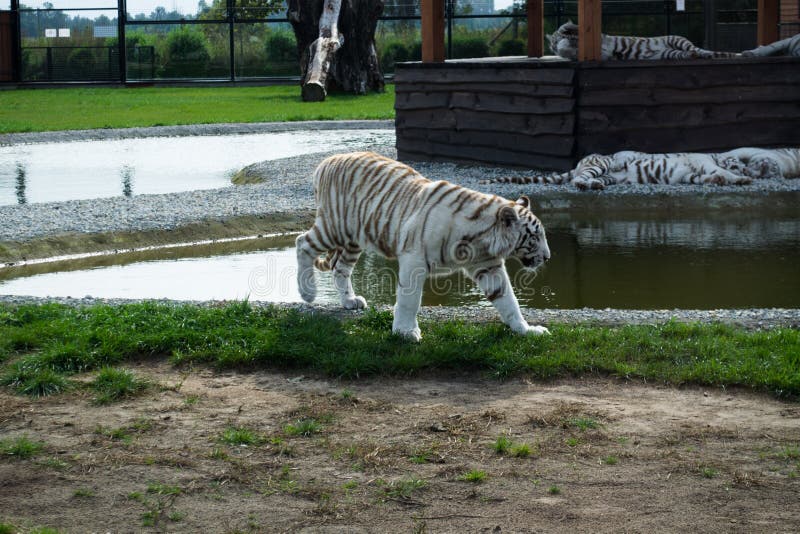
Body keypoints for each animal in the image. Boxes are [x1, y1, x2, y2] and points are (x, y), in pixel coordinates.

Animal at [296, 152, 551, 341]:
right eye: (535, 237)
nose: (548, 257)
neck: (481, 241)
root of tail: (327, 161)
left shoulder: (488, 266)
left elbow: (508, 300)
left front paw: (526, 330)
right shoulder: (414, 259)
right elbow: (409, 300)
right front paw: (405, 332)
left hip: (353, 239)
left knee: (340, 268)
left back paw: (350, 301)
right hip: (334, 227)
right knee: (303, 243)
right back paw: (308, 293)